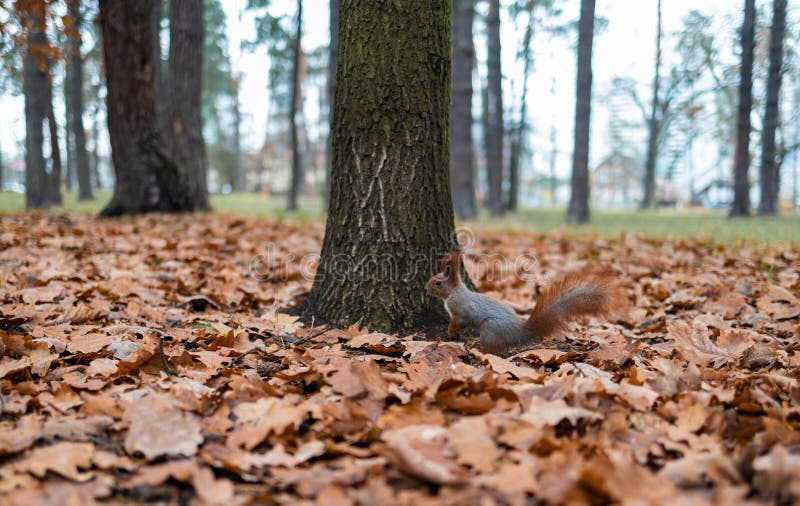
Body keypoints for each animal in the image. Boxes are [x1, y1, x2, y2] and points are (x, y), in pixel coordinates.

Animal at [425, 250, 618, 355]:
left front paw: (451, 332)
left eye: (438, 282)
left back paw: (480, 351)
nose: (425, 288)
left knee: (495, 351)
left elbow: (458, 323)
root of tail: (519, 333)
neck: (453, 294)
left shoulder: (461, 312)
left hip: (490, 329)